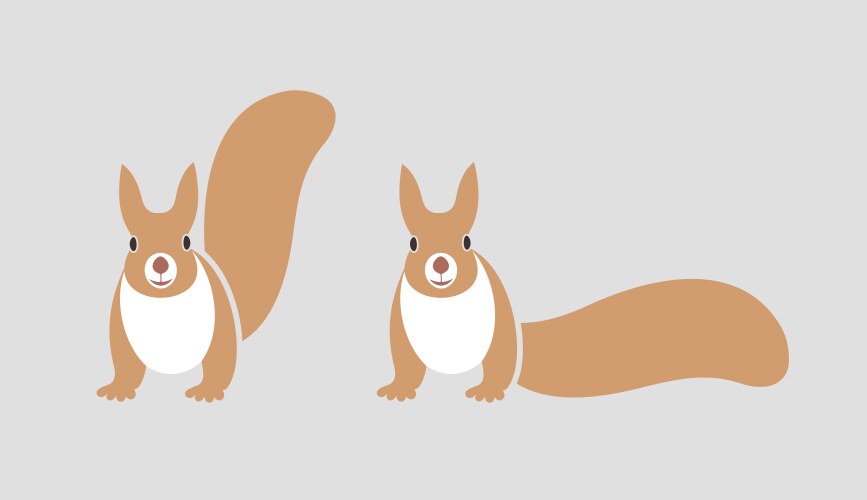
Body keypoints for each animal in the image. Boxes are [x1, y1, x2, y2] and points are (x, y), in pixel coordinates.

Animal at [97, 90, 335, 402]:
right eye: (132, 243)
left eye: (187, 242)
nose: (160, 262)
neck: (163, 300)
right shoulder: (121, 328)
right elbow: (125, 364)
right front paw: (118, 389)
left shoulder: (219, 326)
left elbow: (220, 361)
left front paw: (207, 392)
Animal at [378, 164, 789, 402]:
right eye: (412, 243)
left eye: (467, 241)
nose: (440, 264)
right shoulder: (401, 325)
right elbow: (405, 363)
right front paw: (398, 390)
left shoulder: (498, 325)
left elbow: (498, 361)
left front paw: (488, 392)